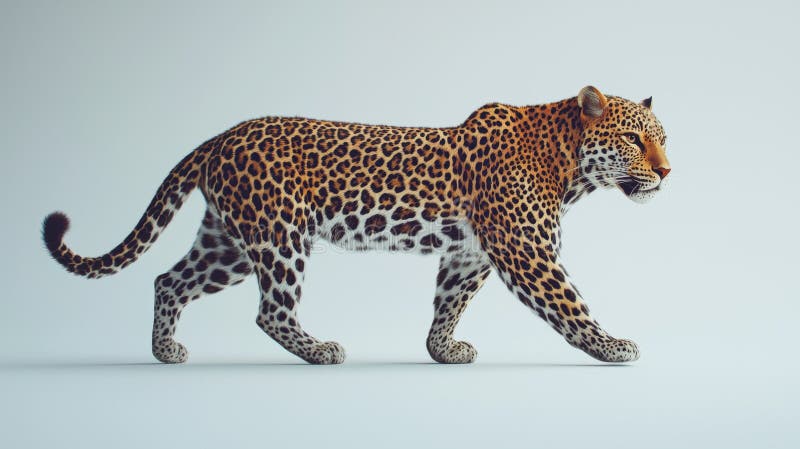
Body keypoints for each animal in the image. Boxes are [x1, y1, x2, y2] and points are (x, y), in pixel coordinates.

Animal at [43, 85, 671, 365]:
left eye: (663, 138)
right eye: (634, 138)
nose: (668, 172)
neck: (570, 165)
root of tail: (219, 137)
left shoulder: (469, 252)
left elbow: (449, 301)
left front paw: (441, 349)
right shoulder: (526, 250)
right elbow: (570, 303)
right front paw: (612, 345)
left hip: (228, 243)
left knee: (168, 280)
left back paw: (165, 350)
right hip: (279, 234)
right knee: (270, 311)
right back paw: (320, 350)